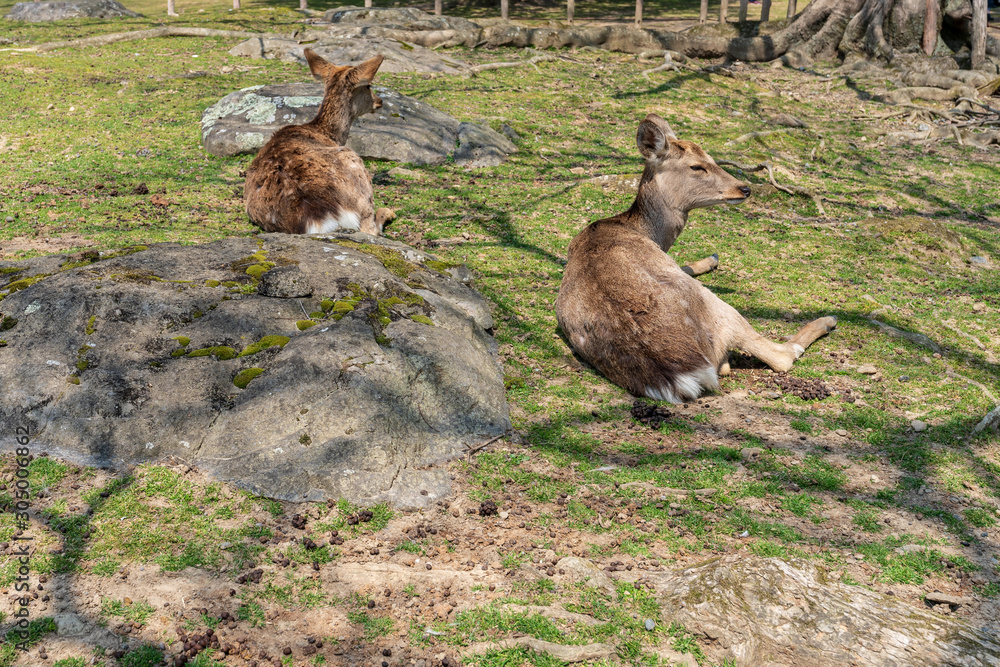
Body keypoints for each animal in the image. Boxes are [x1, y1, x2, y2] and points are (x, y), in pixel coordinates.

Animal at [244, 49, 395, 236]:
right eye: (368, 86)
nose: (379, 101)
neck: (328, 134)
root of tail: (316, 218)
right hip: (355, 164)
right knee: (369, 227)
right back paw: (387, 213)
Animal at [555, 114, 837, 403]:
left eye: (711, 158)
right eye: (696, 166)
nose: (744, 188)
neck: (641, 229)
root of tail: (681, 375)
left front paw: (709, 259)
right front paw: (712, 258)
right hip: (718, 308)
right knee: (779, 356)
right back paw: (827, 321)